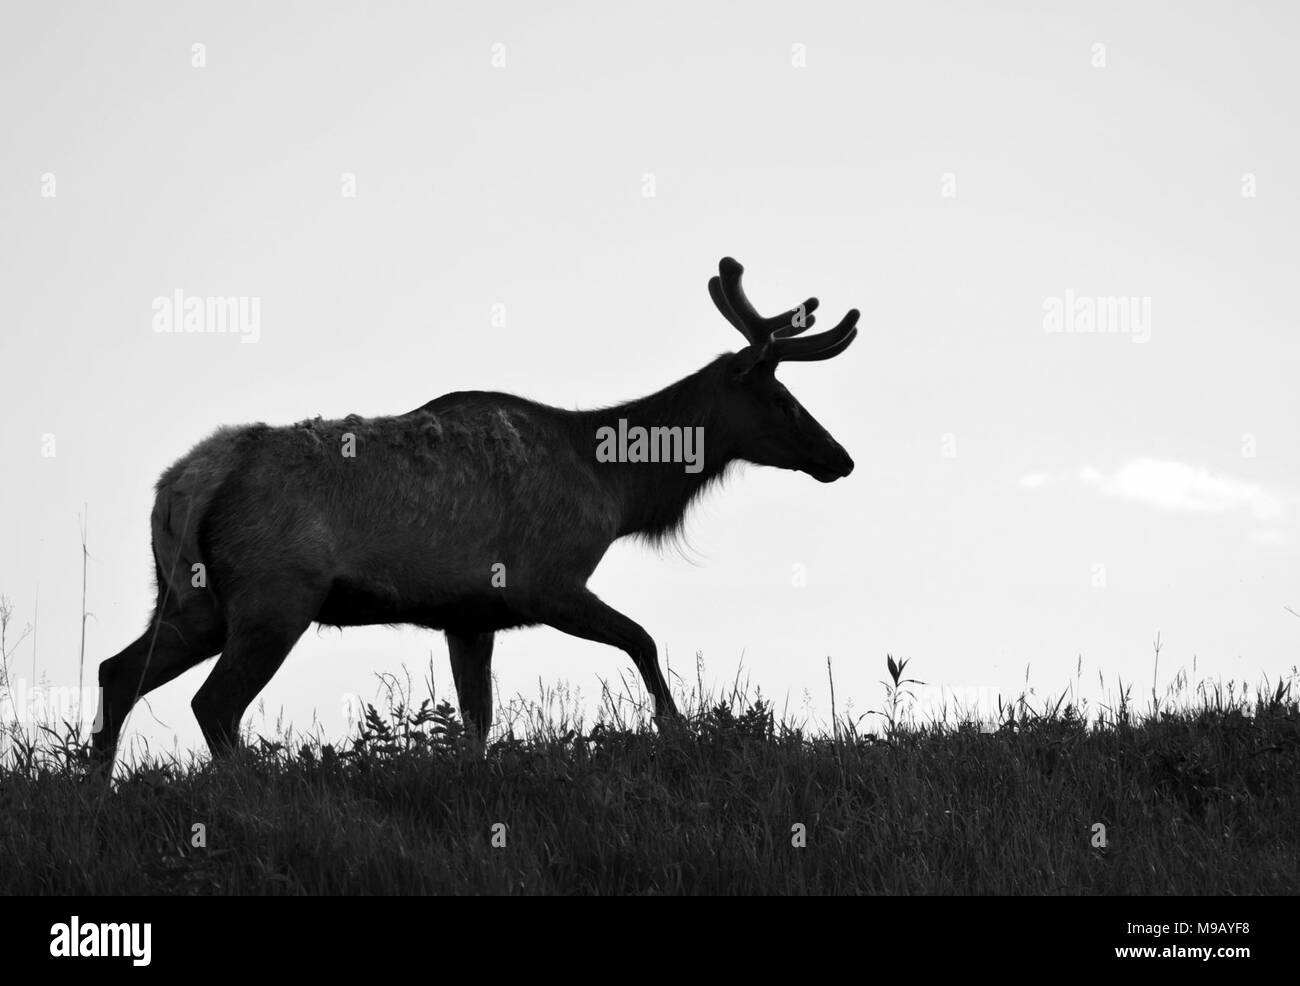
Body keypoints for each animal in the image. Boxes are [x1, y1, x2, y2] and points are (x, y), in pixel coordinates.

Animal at [91, 257, 859, 767]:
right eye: (782, 399)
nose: (841, 458)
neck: (616, 491)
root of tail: (184, 483)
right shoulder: (543, 580)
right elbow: (642, 639)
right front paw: (676, 732)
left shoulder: (467, 614)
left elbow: (475, 723)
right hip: (275, 595)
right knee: (213, 704)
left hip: (192, 600)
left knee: (115, 671)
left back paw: (99, 786)